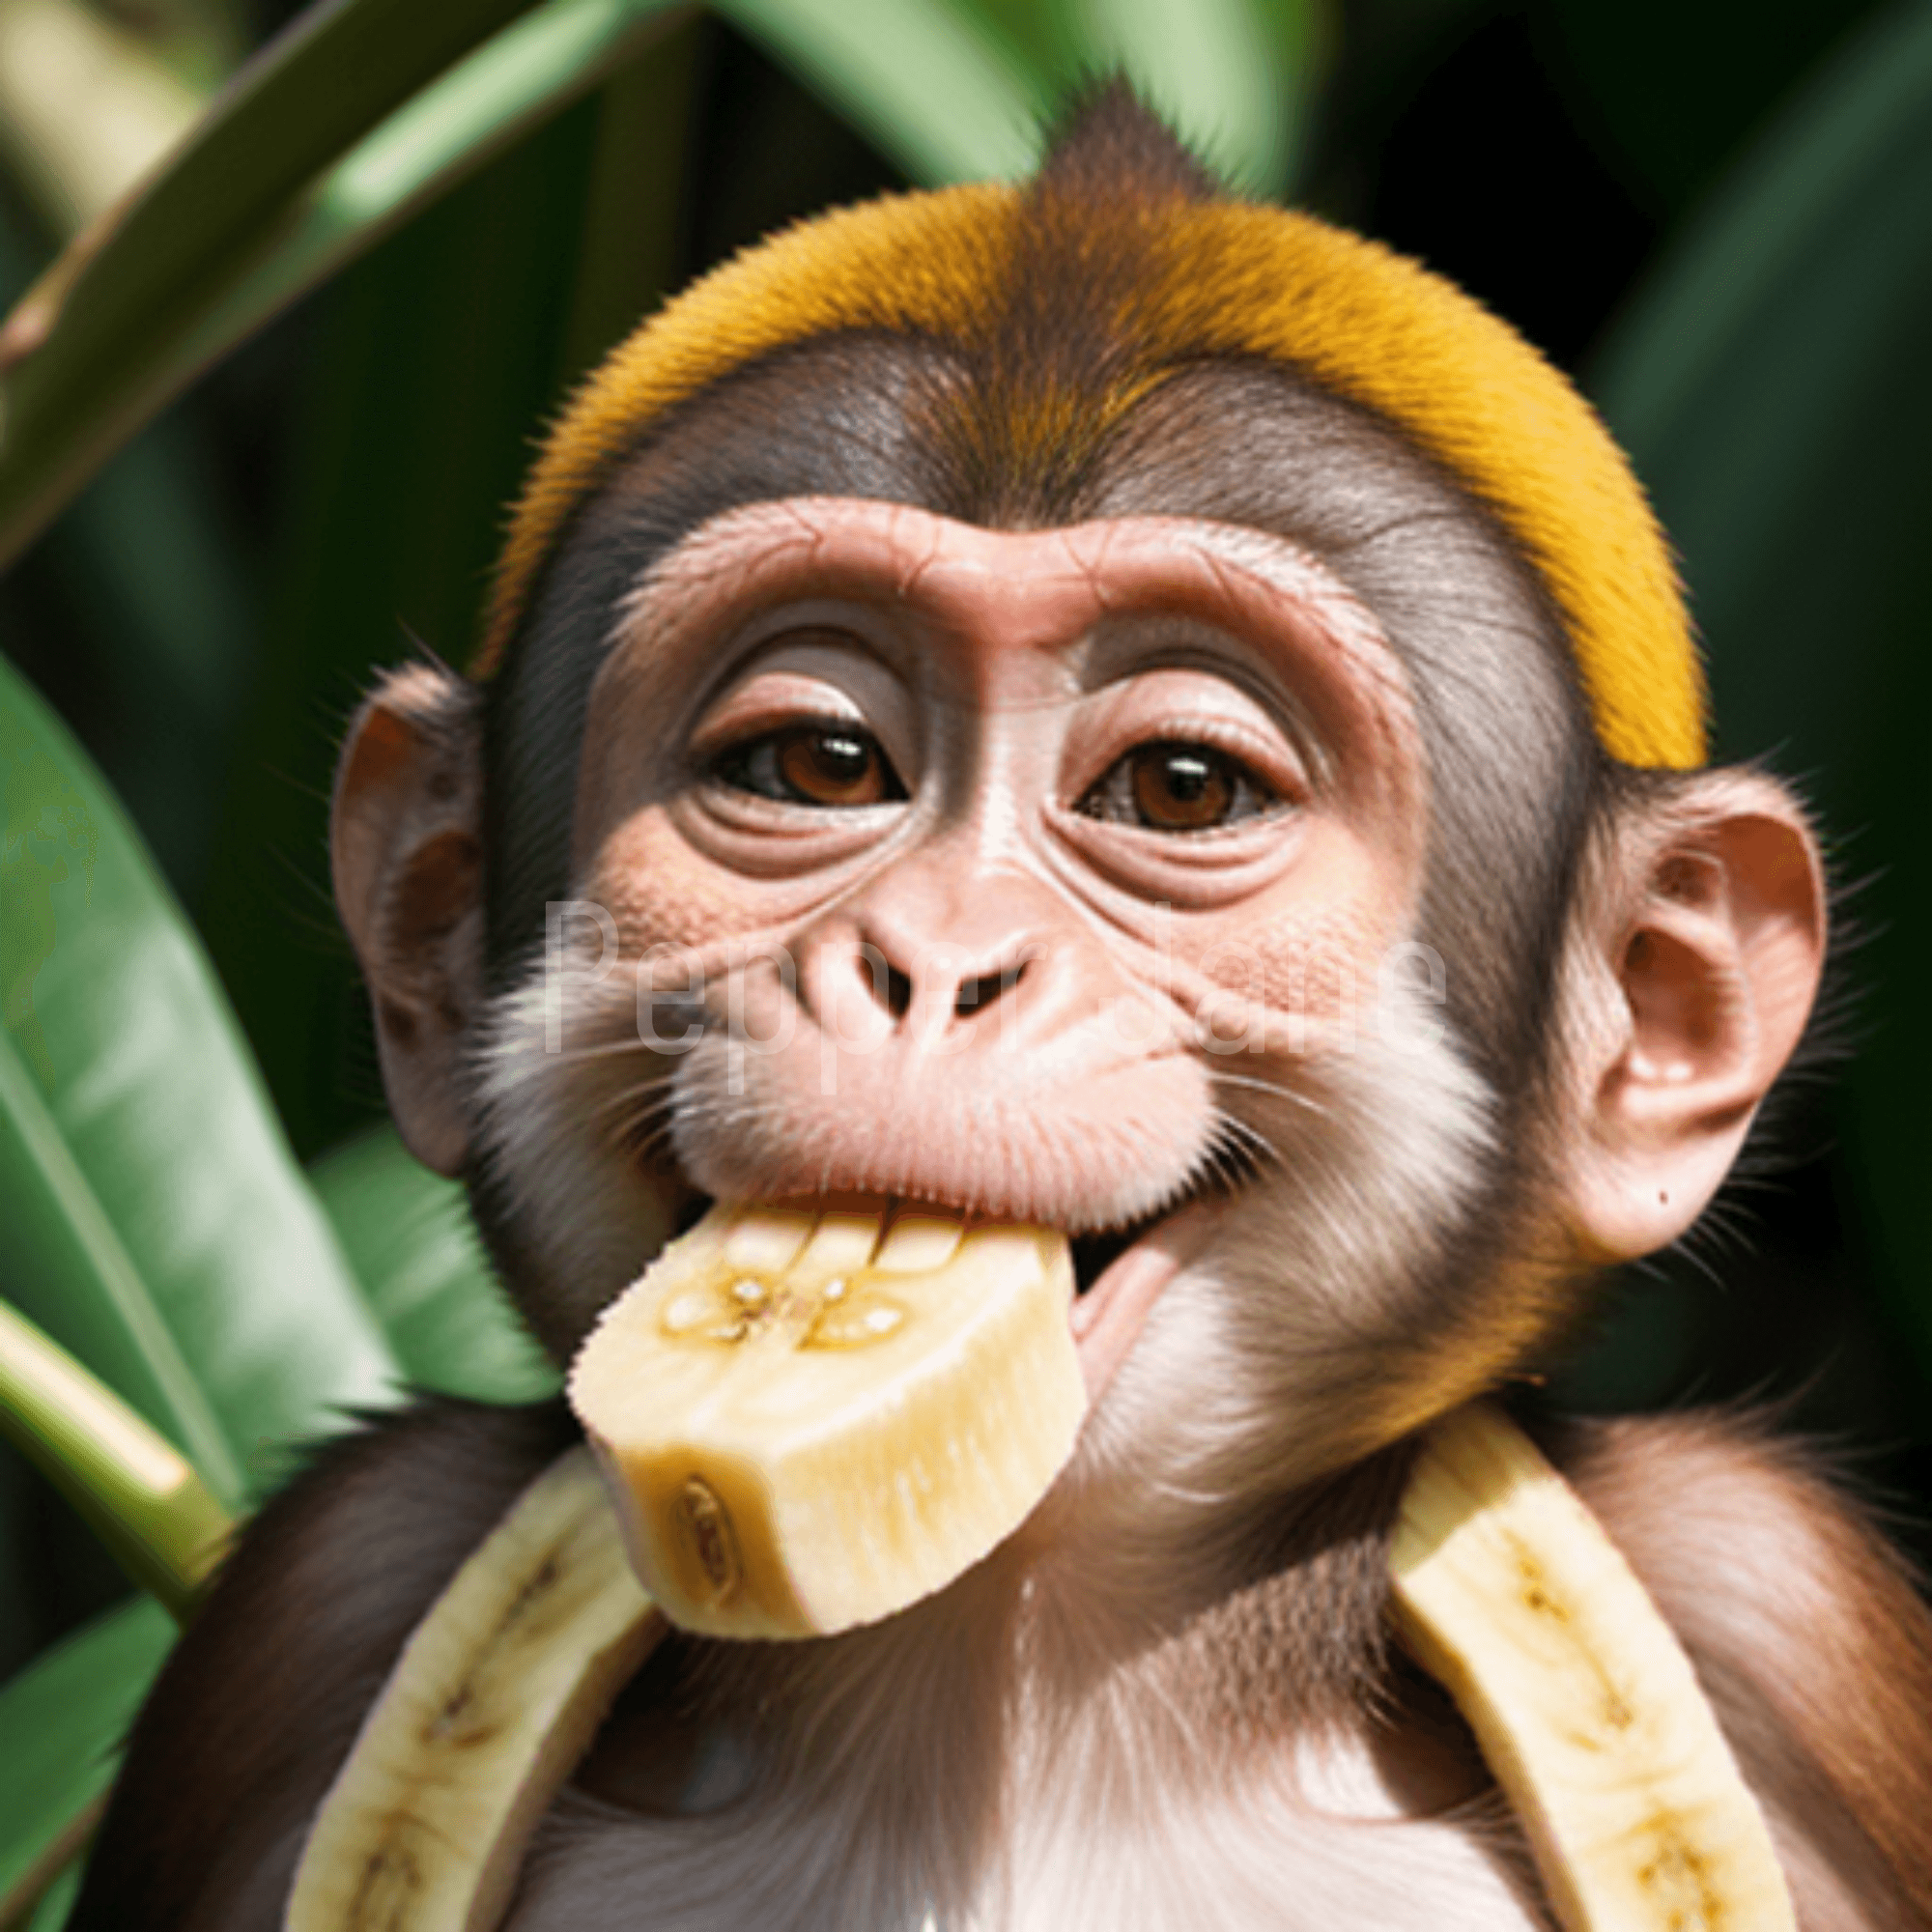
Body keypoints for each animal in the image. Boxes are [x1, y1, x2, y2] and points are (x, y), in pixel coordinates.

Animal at [71, 85, 1932, 1930]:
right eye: (818, 766)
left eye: (1181, 788)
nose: (937, 961)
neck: (1013, 1693)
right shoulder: (325, 1598)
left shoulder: (1777, 1607)